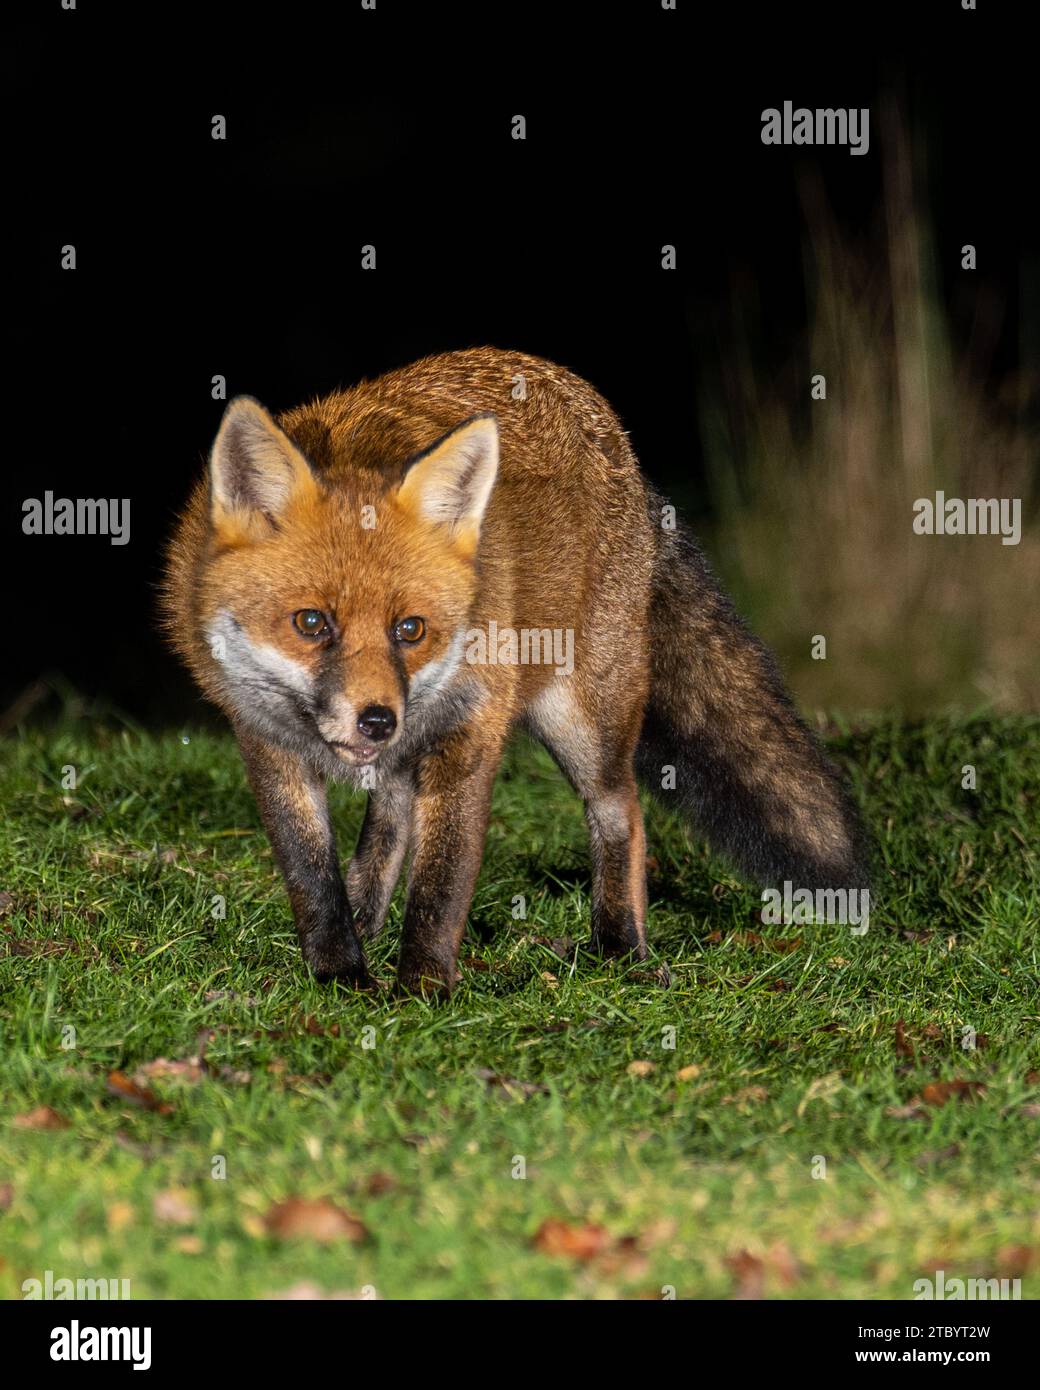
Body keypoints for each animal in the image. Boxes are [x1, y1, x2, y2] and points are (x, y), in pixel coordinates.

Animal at [162, 347, 869, 995]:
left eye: (410, 629)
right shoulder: (265, 737)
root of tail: (622, 447)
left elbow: (443, 882)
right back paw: (367, 910)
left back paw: (621, 945)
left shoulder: (474, 722)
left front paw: (423, 989)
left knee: (621, 809)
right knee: (392, 811)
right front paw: (340, 974)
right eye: (311, 623)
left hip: (581, 719)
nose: (377, 721)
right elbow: (311, 876)